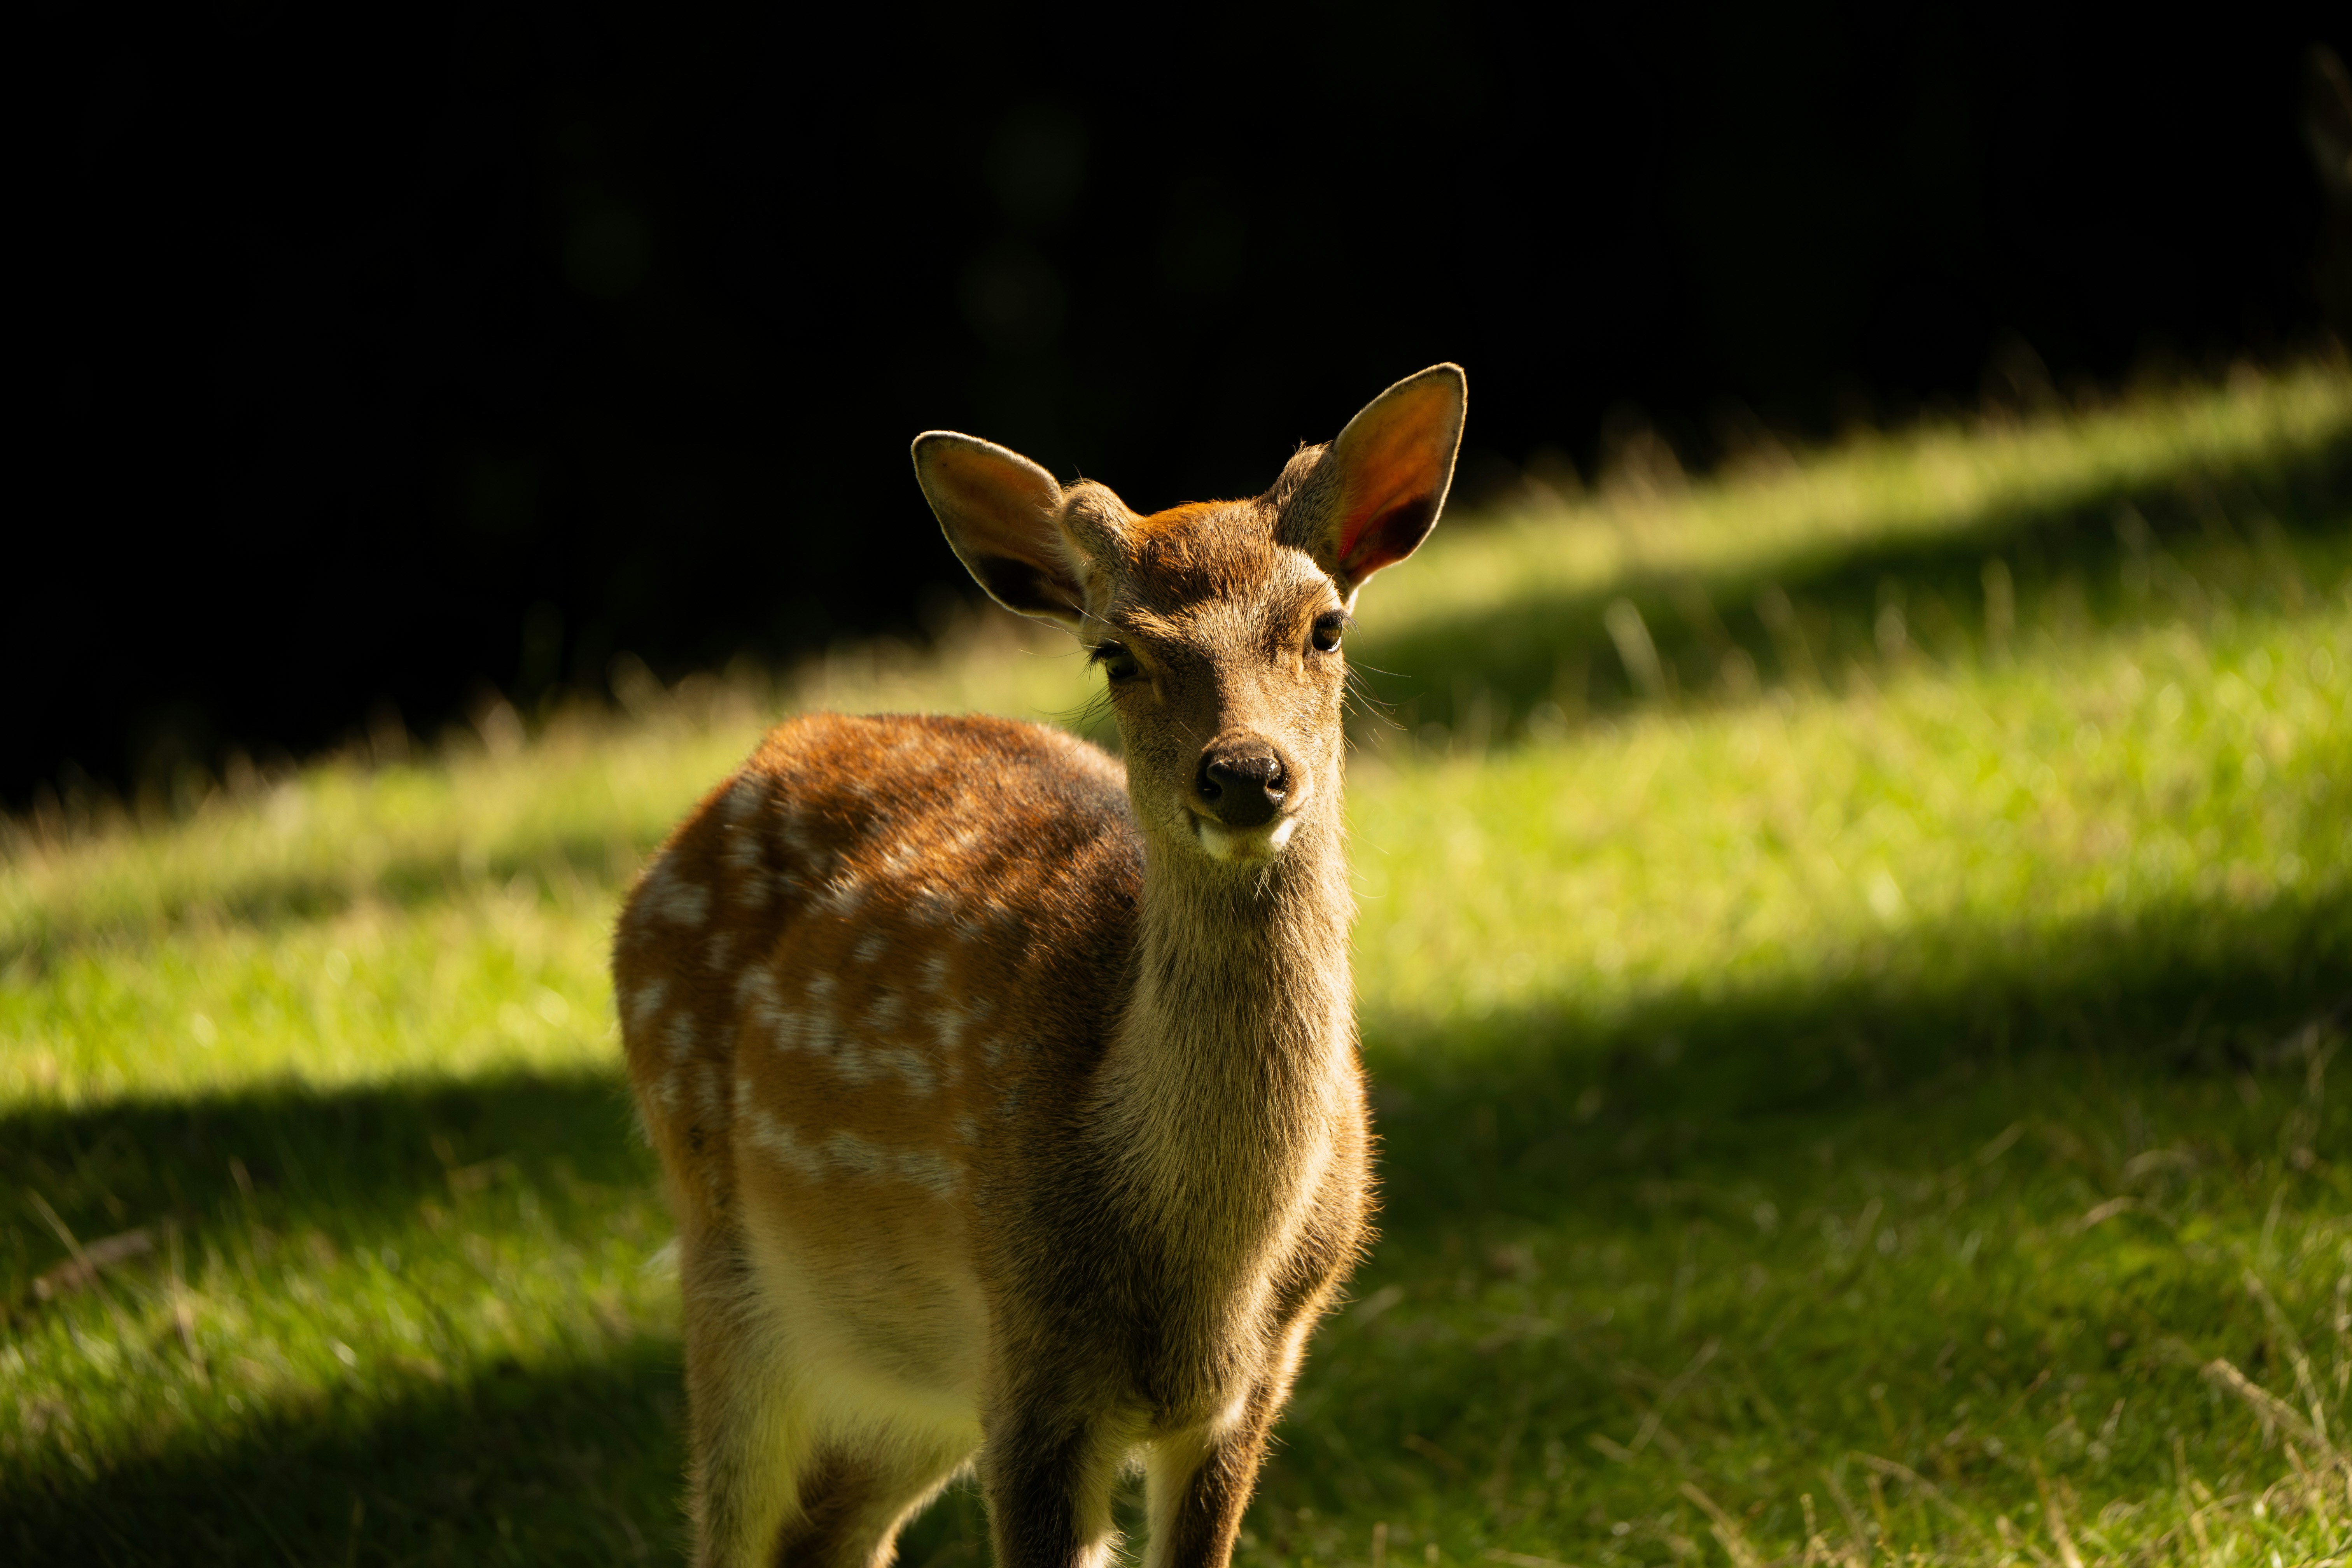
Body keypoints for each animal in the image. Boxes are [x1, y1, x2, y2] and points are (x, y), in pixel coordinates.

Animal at [614, 363, 1467, 1568]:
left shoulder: (1258, 1379)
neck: (1200, 1276)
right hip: (729, 1264)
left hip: (909, 1367)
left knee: (826, 1533)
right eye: (1119, 653)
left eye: (1325, 626)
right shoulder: (1030, 1364)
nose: (1245, 774)